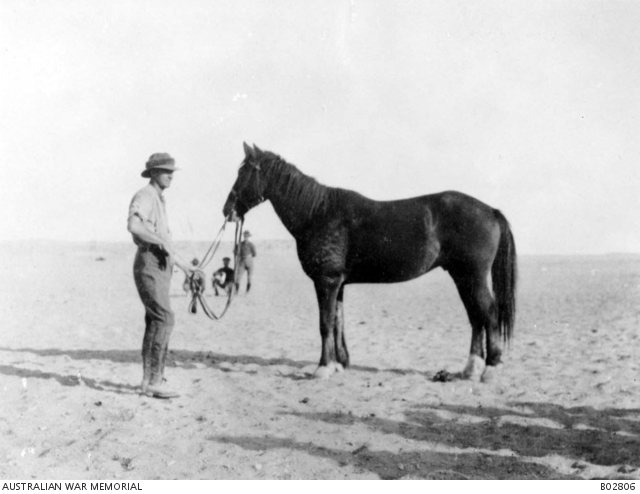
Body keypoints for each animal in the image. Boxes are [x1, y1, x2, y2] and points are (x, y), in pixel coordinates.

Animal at [223, 143, 517, 382]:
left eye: (244, 172)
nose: (228, 211)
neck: (317, 213)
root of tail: (490, 210)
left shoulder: (326, 281)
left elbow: (325, 323)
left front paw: (323, 368)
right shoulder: (338, 284)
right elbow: (338, 322)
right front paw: (339, 364)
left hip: (472, 276)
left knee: (488, 314)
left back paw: (490, 369)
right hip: (462, 276)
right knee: (476, 316)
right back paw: (471, 369)